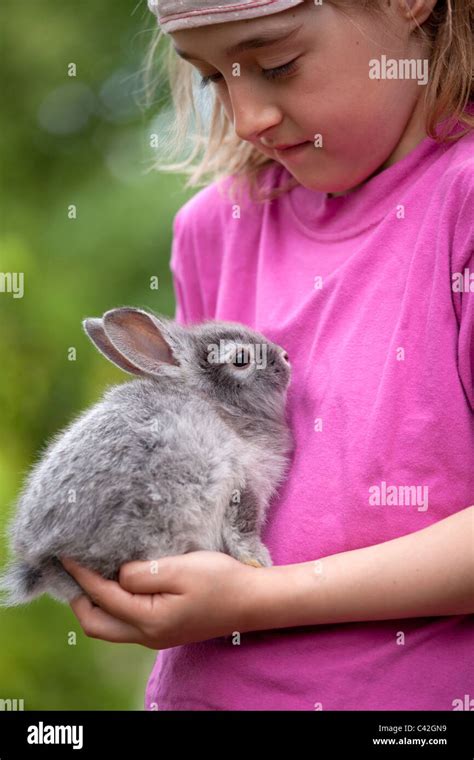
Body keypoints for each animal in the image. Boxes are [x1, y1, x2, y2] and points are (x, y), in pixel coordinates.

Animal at [0, 306, 293, 606]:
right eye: (241, 359)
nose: (286, 357)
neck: (218, 404)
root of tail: (40, 561)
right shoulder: (243, 486)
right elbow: (242, 528)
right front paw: (258, 560)